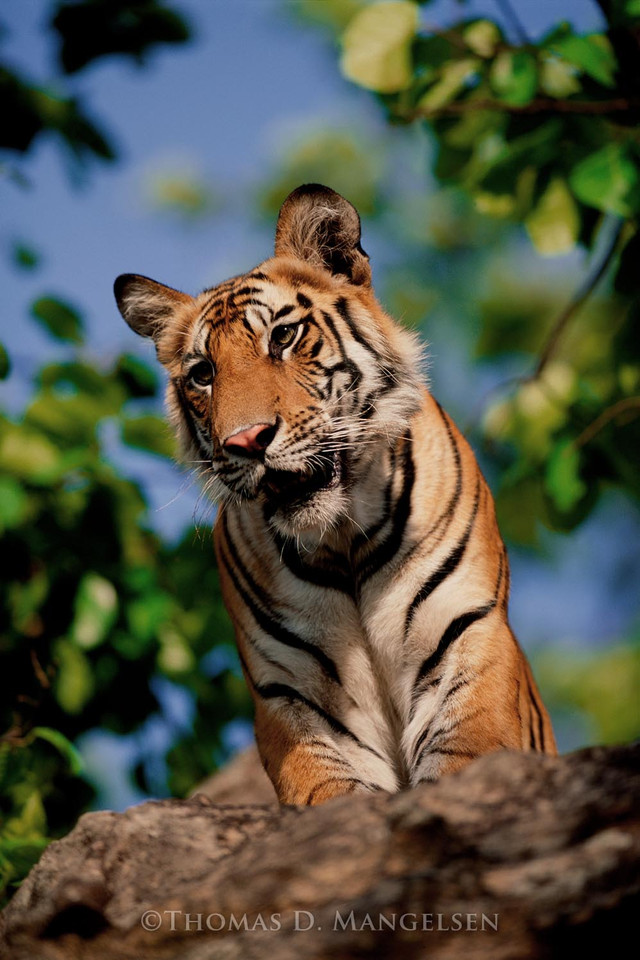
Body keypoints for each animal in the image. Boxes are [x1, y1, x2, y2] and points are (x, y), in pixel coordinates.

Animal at [114, 183, 557, 805]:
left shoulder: (467, 632)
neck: (341, 539)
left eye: (282, 336)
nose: (246, 440)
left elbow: (464, 758)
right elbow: (328, 792)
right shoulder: (290, 691)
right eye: (203, 373)